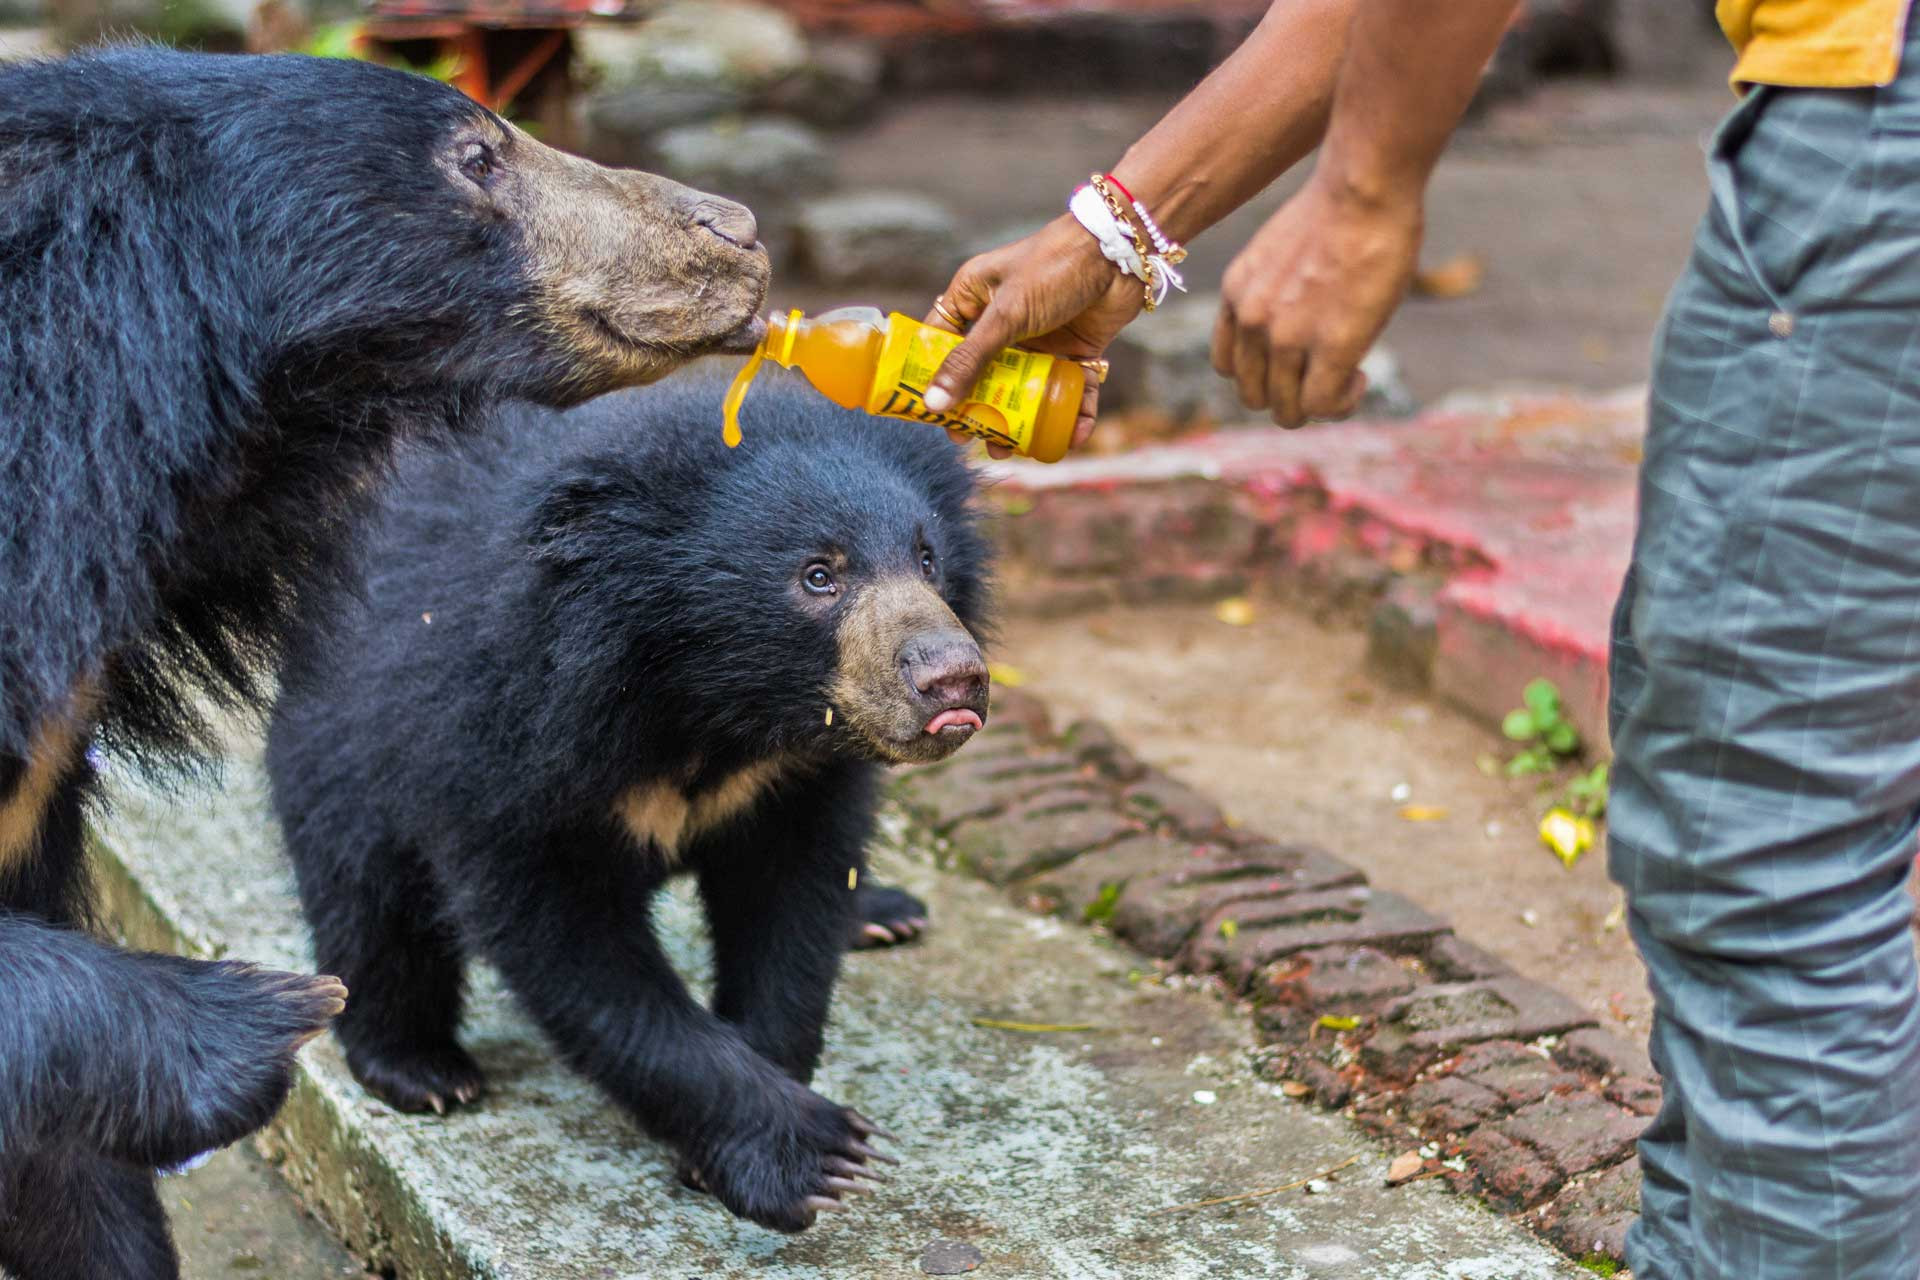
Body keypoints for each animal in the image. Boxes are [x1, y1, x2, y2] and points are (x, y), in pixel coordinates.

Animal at [264, 374, 992, 1234]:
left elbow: (794, 908)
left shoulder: (796, 778)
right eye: (819, 575)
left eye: (928, 558)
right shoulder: (503, 743)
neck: (714, 708)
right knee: (366, 895)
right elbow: (574, 949)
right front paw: (809, 1155)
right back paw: (422, 1070)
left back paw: (884, 913)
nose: (953, 680)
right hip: (343, 733)